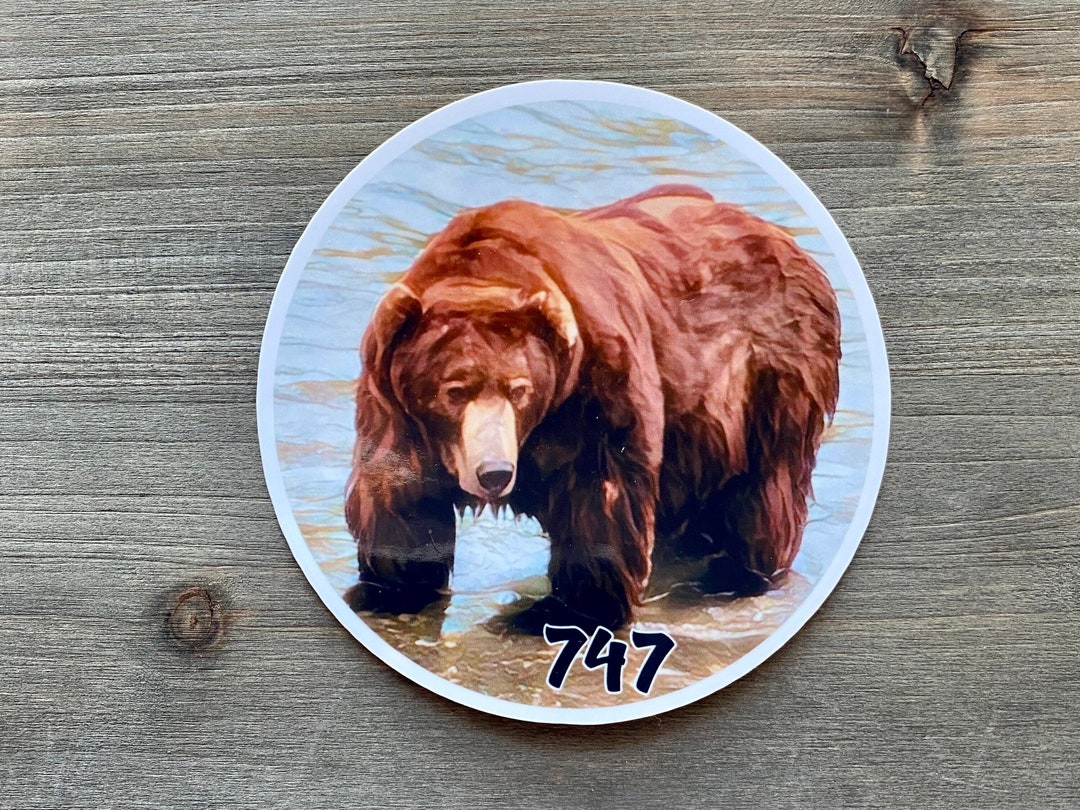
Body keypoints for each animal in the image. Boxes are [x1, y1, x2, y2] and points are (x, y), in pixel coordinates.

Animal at [344, 183, 841, 634]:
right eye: (455, 390)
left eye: (520, 389)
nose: (496, 473)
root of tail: (786, 239)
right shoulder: (393, 407)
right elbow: (400, 502)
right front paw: (390, 591)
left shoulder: (599, 382)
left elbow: (600, 500)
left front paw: (564, 609)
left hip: (769, 379)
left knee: (762, 496)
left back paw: (733, 578)